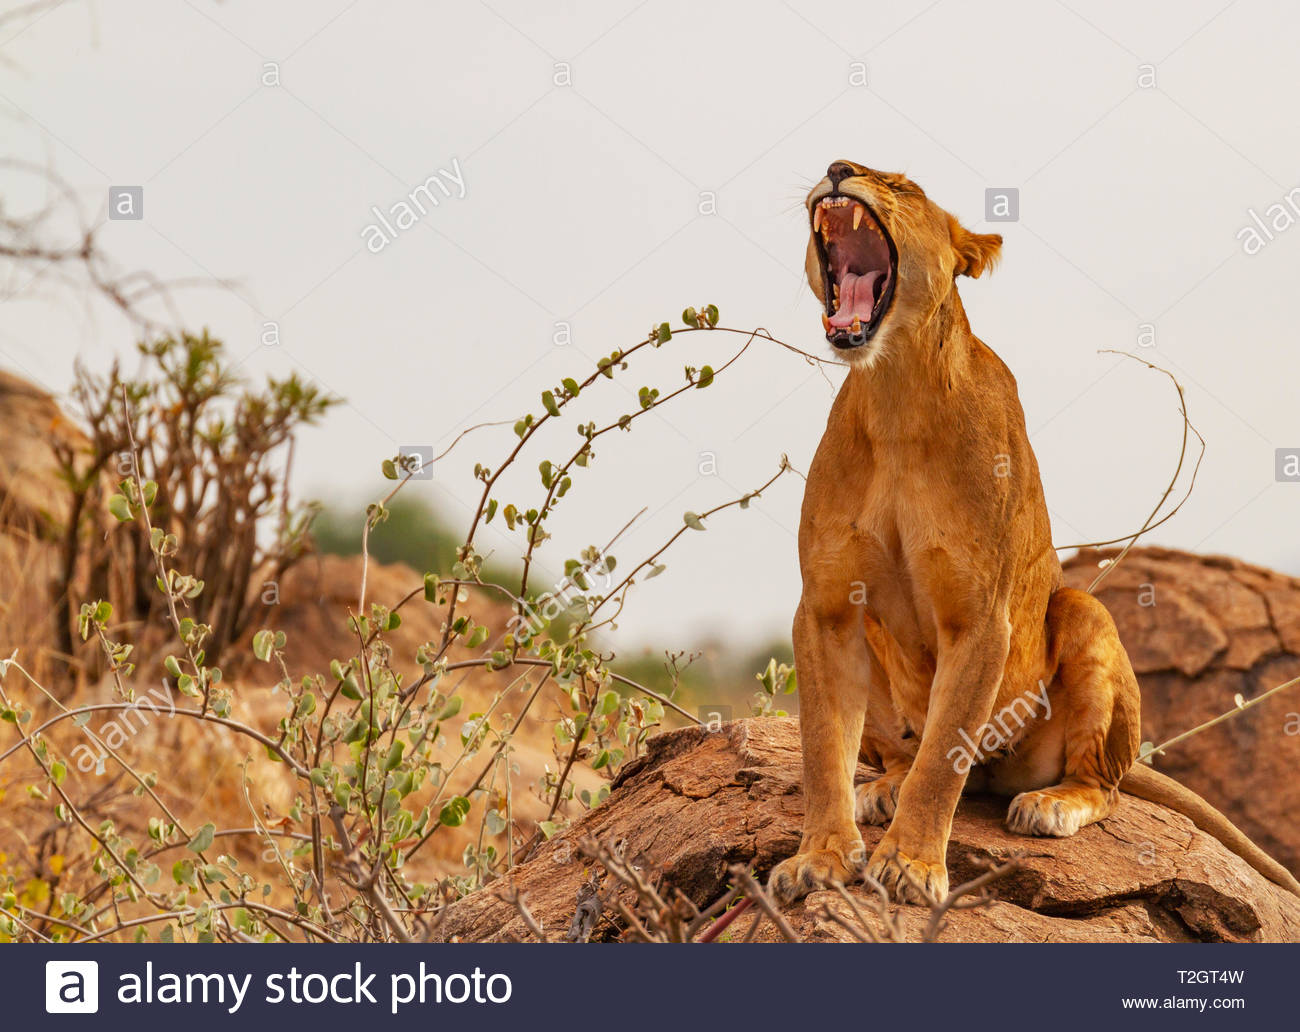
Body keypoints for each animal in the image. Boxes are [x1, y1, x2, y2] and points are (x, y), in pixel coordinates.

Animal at [768, 159, 1300, 905]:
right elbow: (822, 747)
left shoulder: (979, 617)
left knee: (1100, 782)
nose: (837, 169)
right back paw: (885, 784)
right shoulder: (826, 607)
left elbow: (944, 758)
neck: (896, 393)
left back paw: (1052, 803)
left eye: (903, 187)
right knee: (907, 754)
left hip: (1081, 615)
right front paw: (819, 857)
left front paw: (910, 866)